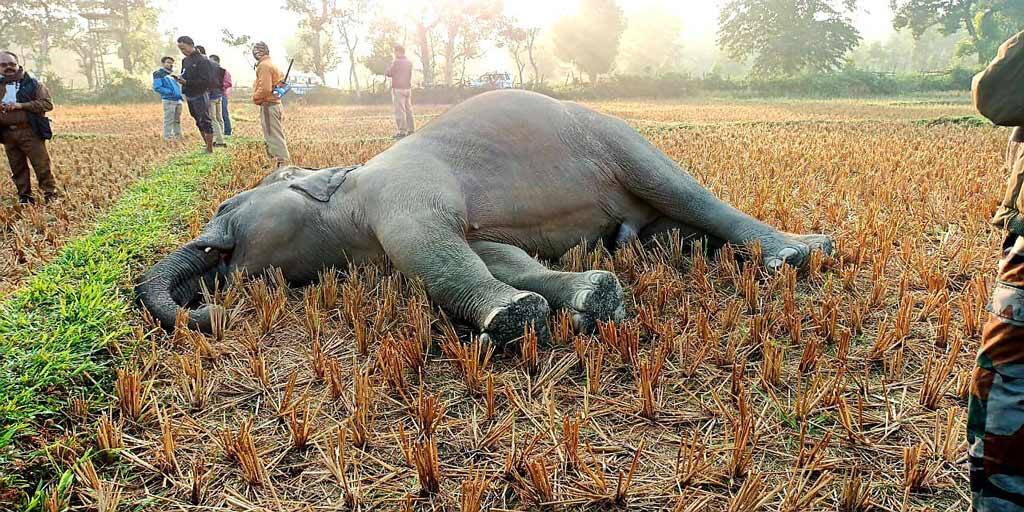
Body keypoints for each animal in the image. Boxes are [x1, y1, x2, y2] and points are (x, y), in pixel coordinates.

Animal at [136, 89, 833, 346]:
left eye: (225, 206)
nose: (210, 311)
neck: (348, 186)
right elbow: (496, 254)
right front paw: (590, 299)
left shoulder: (403, 191)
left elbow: (435, 251)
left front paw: (515, 318)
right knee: (676, 233)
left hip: (620, 142)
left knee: (687, 193)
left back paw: (798, 253)